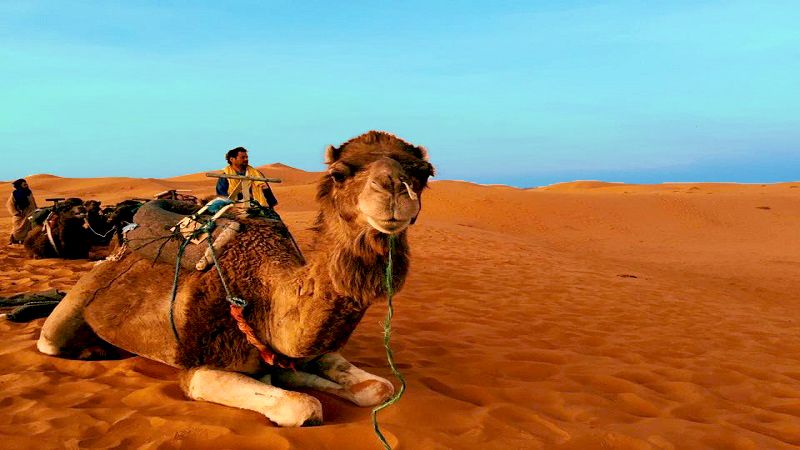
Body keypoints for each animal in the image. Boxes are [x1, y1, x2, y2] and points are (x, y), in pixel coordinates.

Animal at [37, 131, 434, 427]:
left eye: (424, 173)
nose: (393, 190)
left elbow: (378, 388)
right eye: (339, 173)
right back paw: (91, 350)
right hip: (75, 304)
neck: (263, 292)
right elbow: (304, 407)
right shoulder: (200, 365)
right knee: (51, 340)